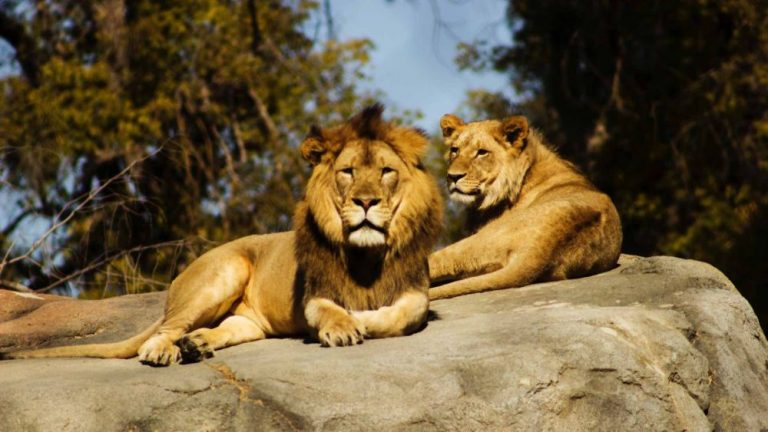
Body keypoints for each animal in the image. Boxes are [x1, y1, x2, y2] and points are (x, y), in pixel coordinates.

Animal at [1, 104, 443, 366]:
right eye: (348, 172)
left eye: (386, 171)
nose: (366, 201)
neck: (367, 254)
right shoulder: (314, 294)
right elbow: (329, 309)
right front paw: (345, 324)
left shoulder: (415, 290)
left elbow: (404, 313)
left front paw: (364, 318)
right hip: (223, 274)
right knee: (161, 332)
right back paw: (164, 350)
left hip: (248, 321)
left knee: (226, 328)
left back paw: (196, 344)